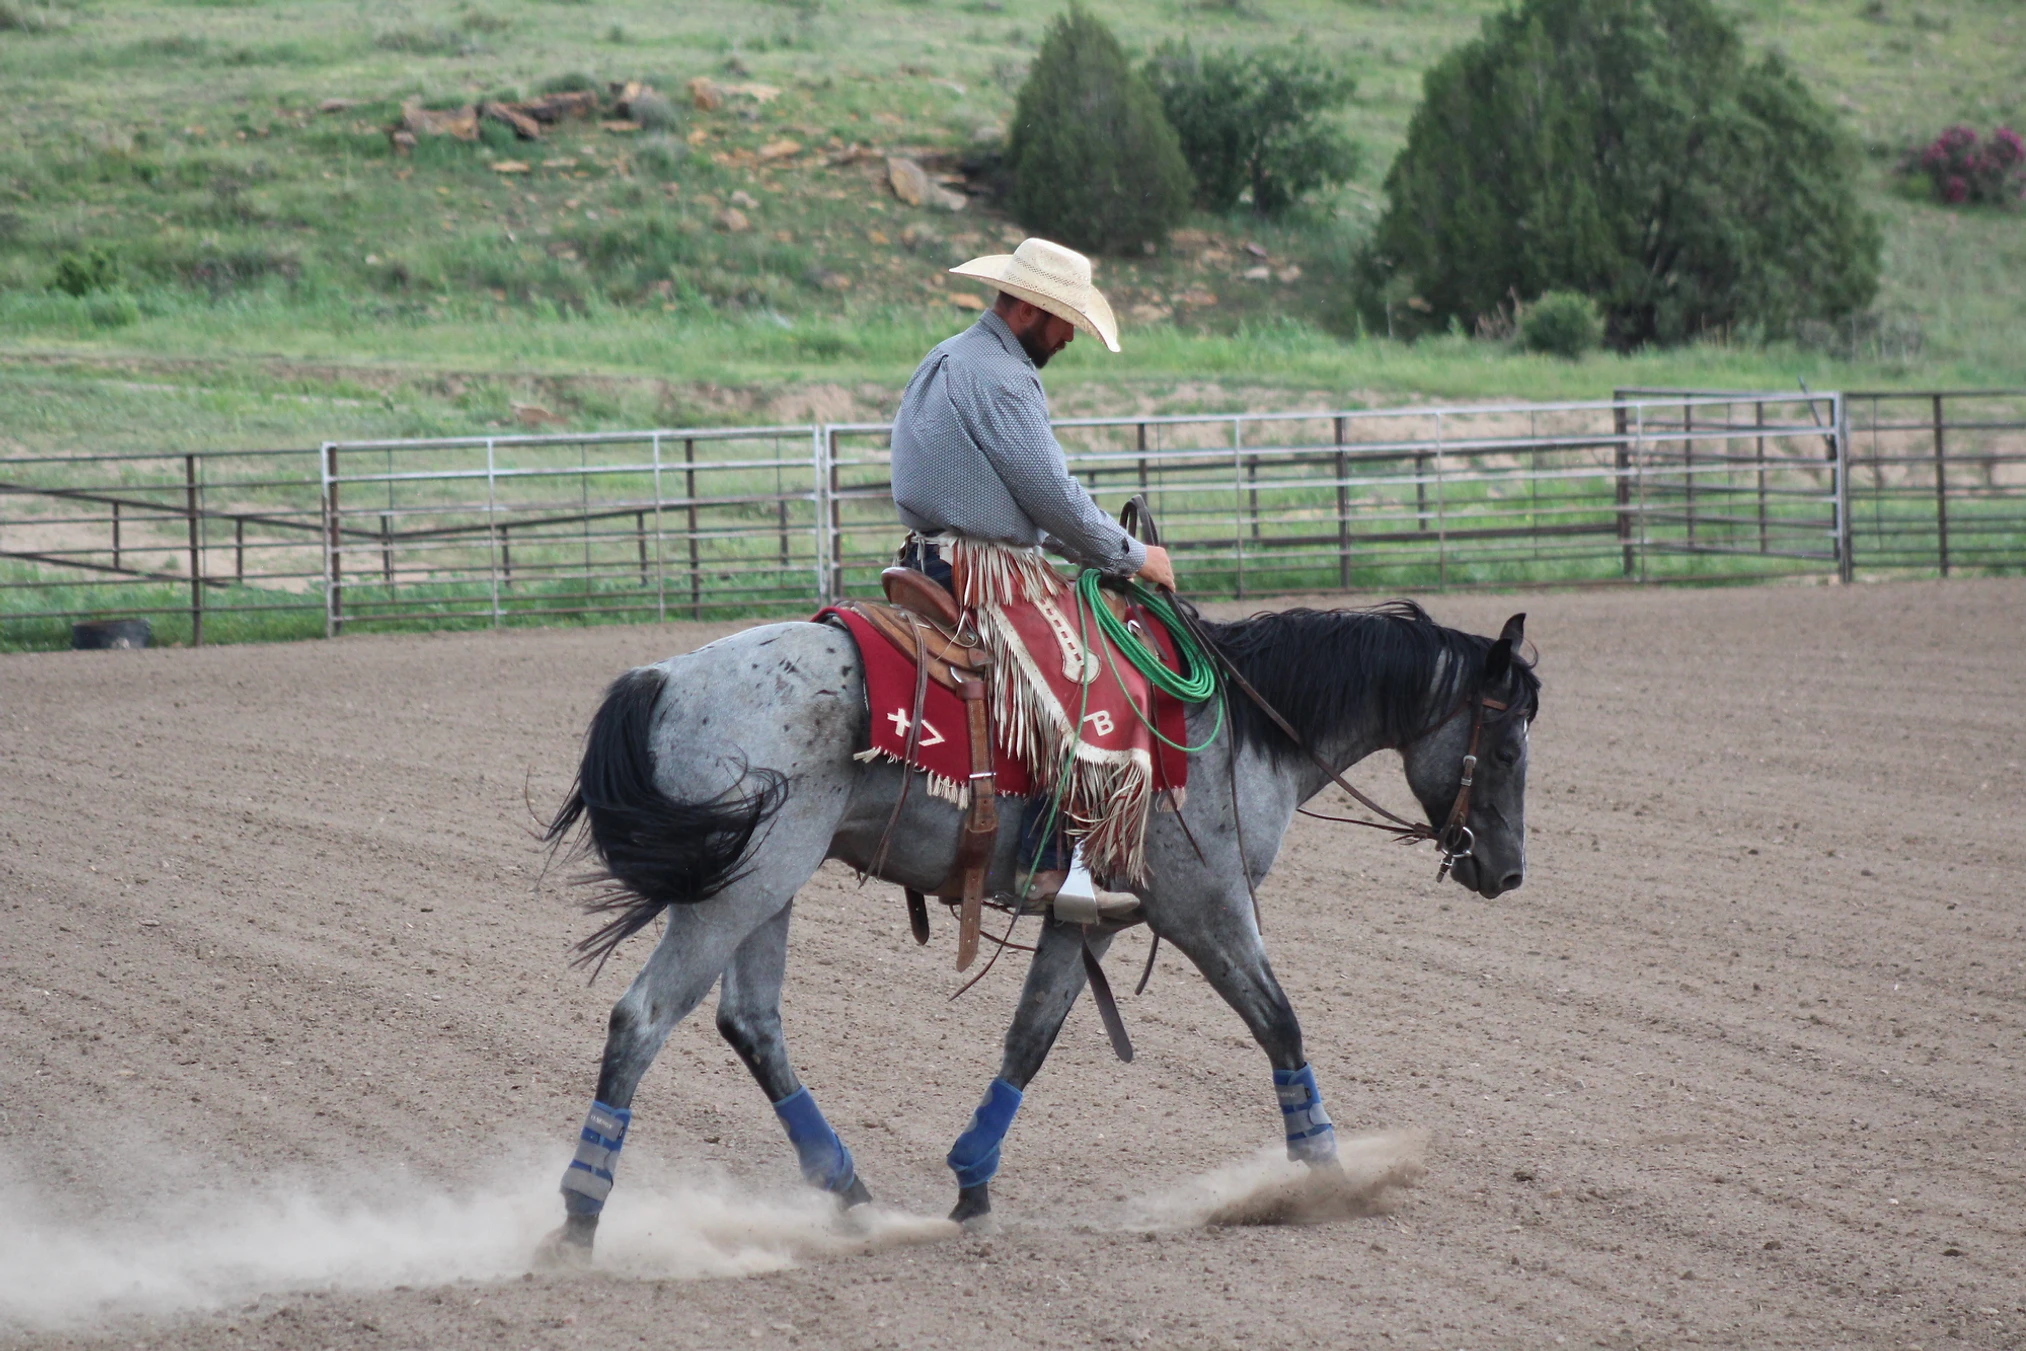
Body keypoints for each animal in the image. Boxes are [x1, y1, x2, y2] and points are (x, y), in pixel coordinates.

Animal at [537, 598, 1539, 1260]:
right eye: (1510, 742)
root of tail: (664, 676)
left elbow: (1031, 1034)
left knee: (750, 1021)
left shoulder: (1086, 918)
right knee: (643, 1018)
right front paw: (1327, 1178)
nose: (1507, 870)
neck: (1229, 730)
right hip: (741, 886)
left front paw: (972, 1183)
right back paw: (580, 1218)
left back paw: (853, 1196)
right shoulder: (1206, 906)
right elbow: (1280, 1023)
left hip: (768, 886)